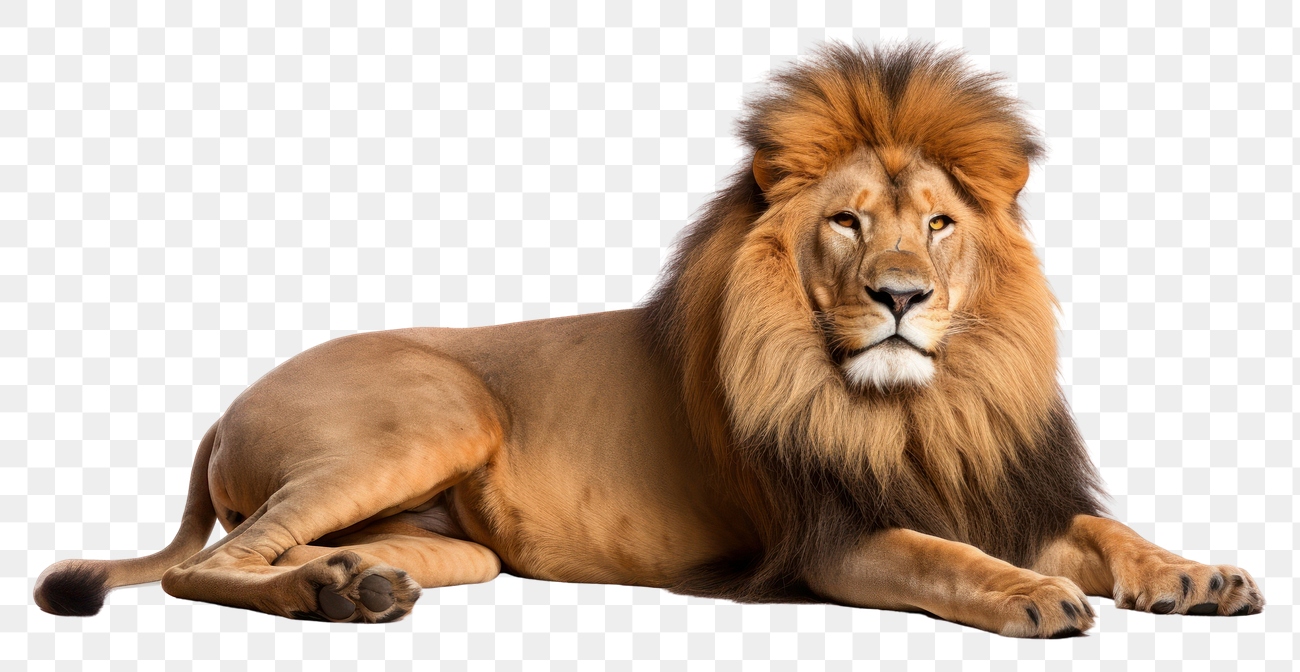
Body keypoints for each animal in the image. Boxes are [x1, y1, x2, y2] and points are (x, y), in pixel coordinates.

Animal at [35, 44, 1263, 637]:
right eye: (847, 222)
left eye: (940, 224)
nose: (902, 295)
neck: (922, 405)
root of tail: (222, 407)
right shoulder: (824, 539)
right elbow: (942, 557)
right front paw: (1026, 596)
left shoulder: (1002, 485)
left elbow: (1108, 530)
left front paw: (1195, 573)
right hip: (434, 411)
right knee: (203, 566)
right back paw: (326, 598)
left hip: (459, 537)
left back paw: (356, 584)